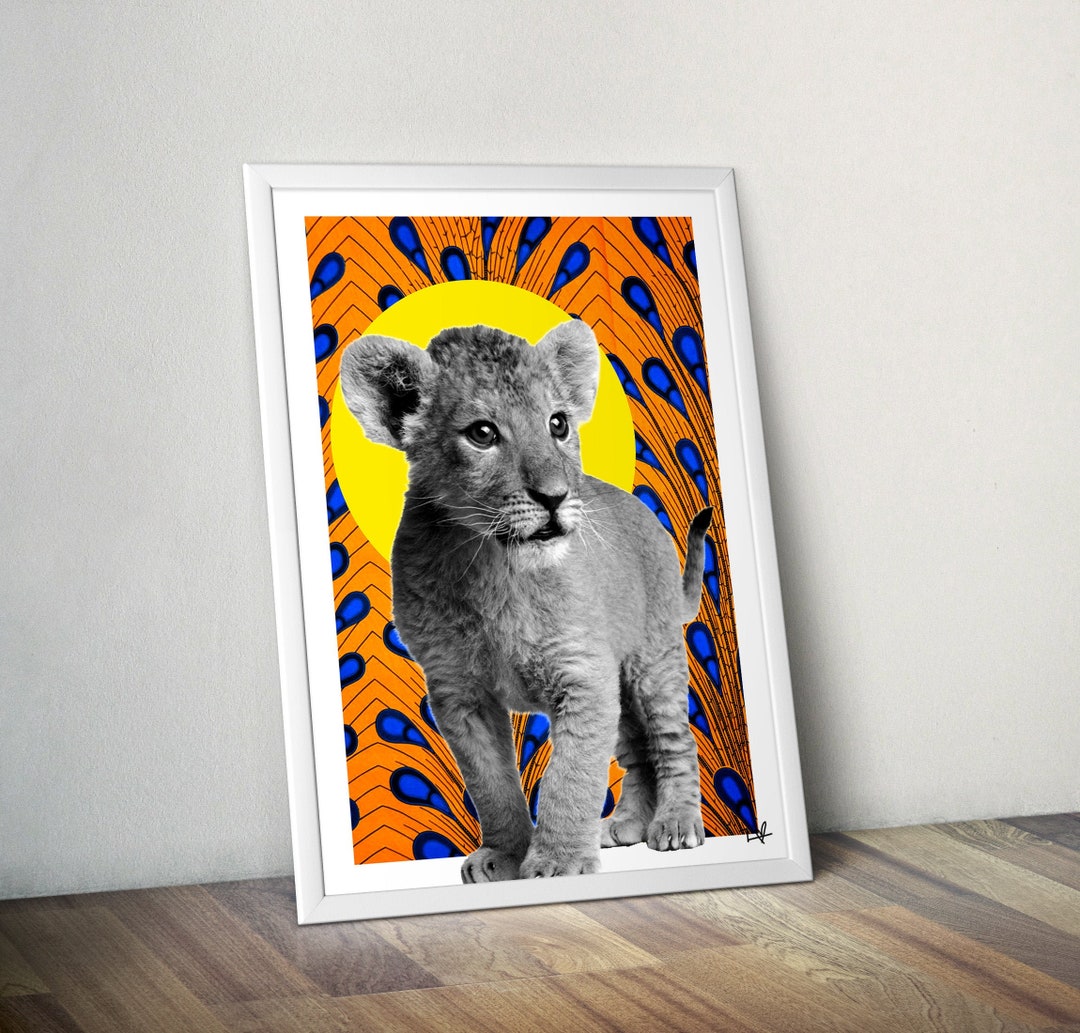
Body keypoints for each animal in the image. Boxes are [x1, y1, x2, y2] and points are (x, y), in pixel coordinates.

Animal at [339, 319, 711, 882]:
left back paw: (676, 825)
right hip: (620, 683)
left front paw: (558, 862)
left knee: (673, 739)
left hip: (652, 661)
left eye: (557, 424)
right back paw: (625, 825)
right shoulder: (458, 692)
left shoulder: (582, 675)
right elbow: (491, 784)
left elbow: (571, 777)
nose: (555, 497)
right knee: (636, 750)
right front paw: (506, 856)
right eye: (482, 434)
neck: (493, 569)